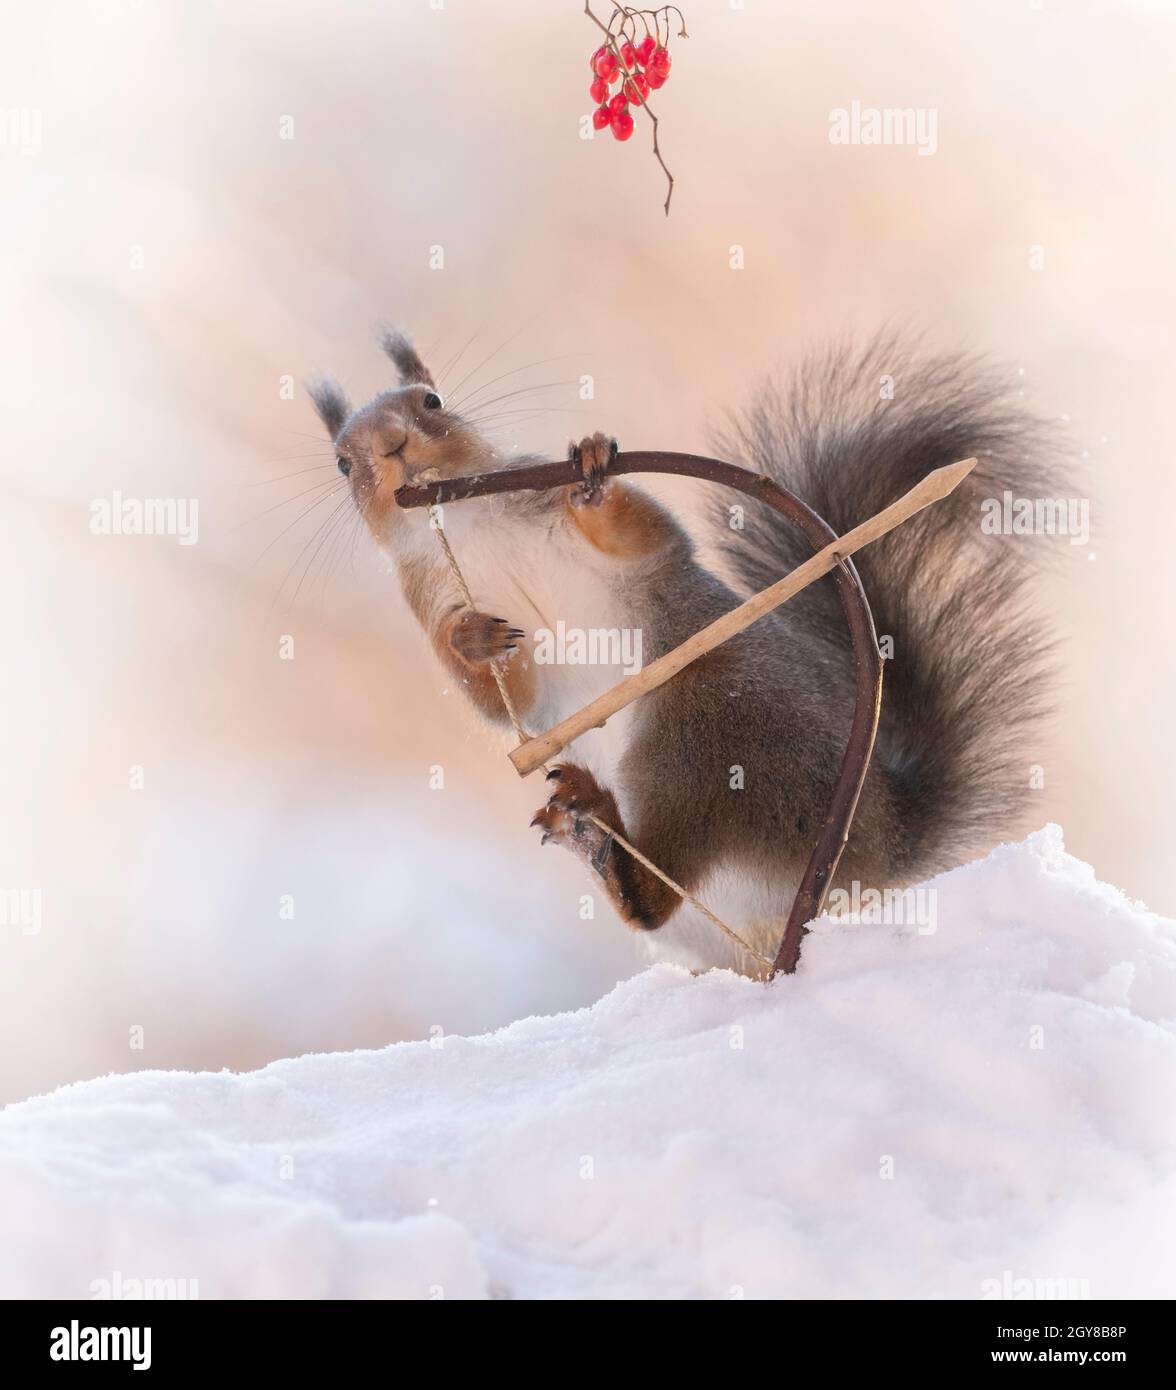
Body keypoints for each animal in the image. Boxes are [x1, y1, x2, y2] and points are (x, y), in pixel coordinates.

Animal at [308, 330, 1056, 973]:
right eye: (343, 463)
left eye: (432, 403)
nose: (394, 445)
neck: (458, 517)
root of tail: (870, 855)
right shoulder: (427, 598)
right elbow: (501, 700)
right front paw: (472, 640)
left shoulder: (568, 511)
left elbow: (645, 535)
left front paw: (592, 471)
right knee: (663, 913)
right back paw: (595, 840)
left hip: (705, 739)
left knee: (660, 891)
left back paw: (600, 832)